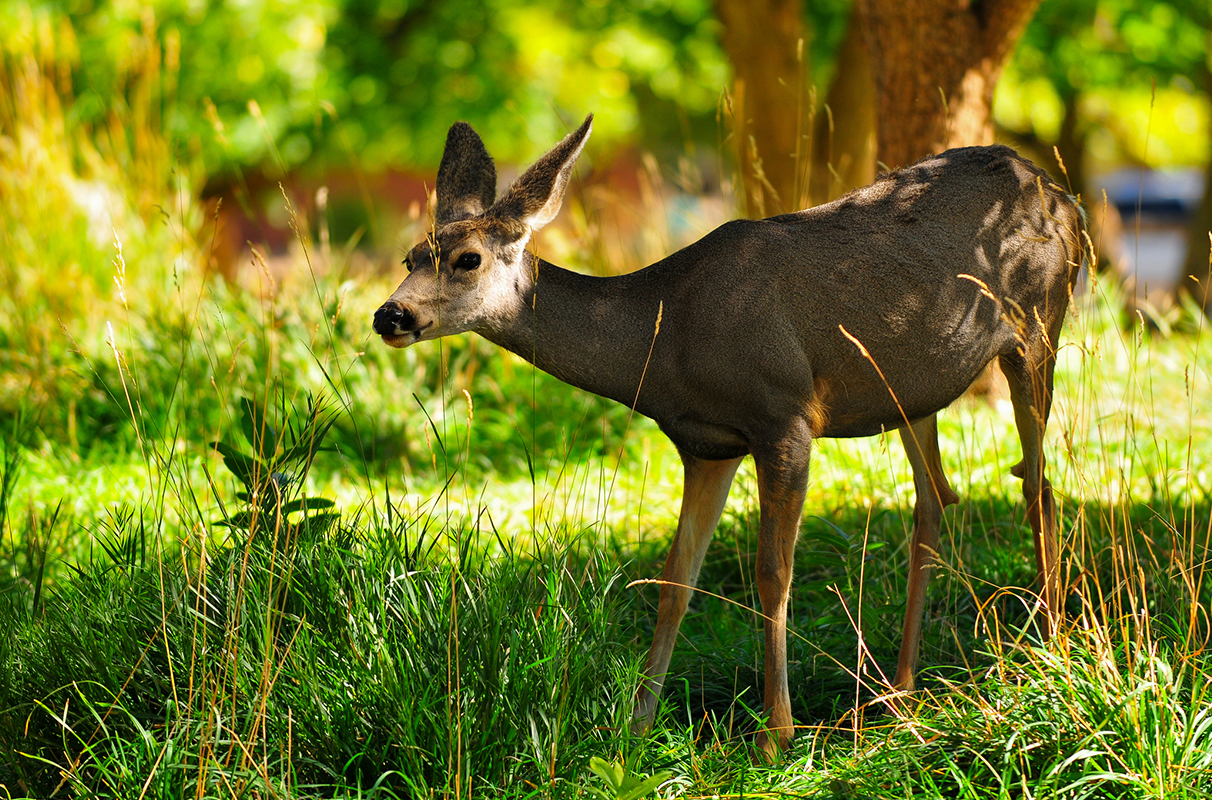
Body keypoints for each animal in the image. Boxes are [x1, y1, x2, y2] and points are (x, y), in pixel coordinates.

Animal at [372, 114, 1083, 759]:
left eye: (467, 259)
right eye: (410, 256)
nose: (390, 314)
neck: (667, 338)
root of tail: (1056, 189)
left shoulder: (784, 418)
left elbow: (772, 572)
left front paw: (777, 734)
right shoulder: (705, 445)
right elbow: (674, 582)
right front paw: (635, 729)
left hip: (1039, 323)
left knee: (1037, 486)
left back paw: (1050, 649)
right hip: (912, 390)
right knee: (937, 498)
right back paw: (901, 690)